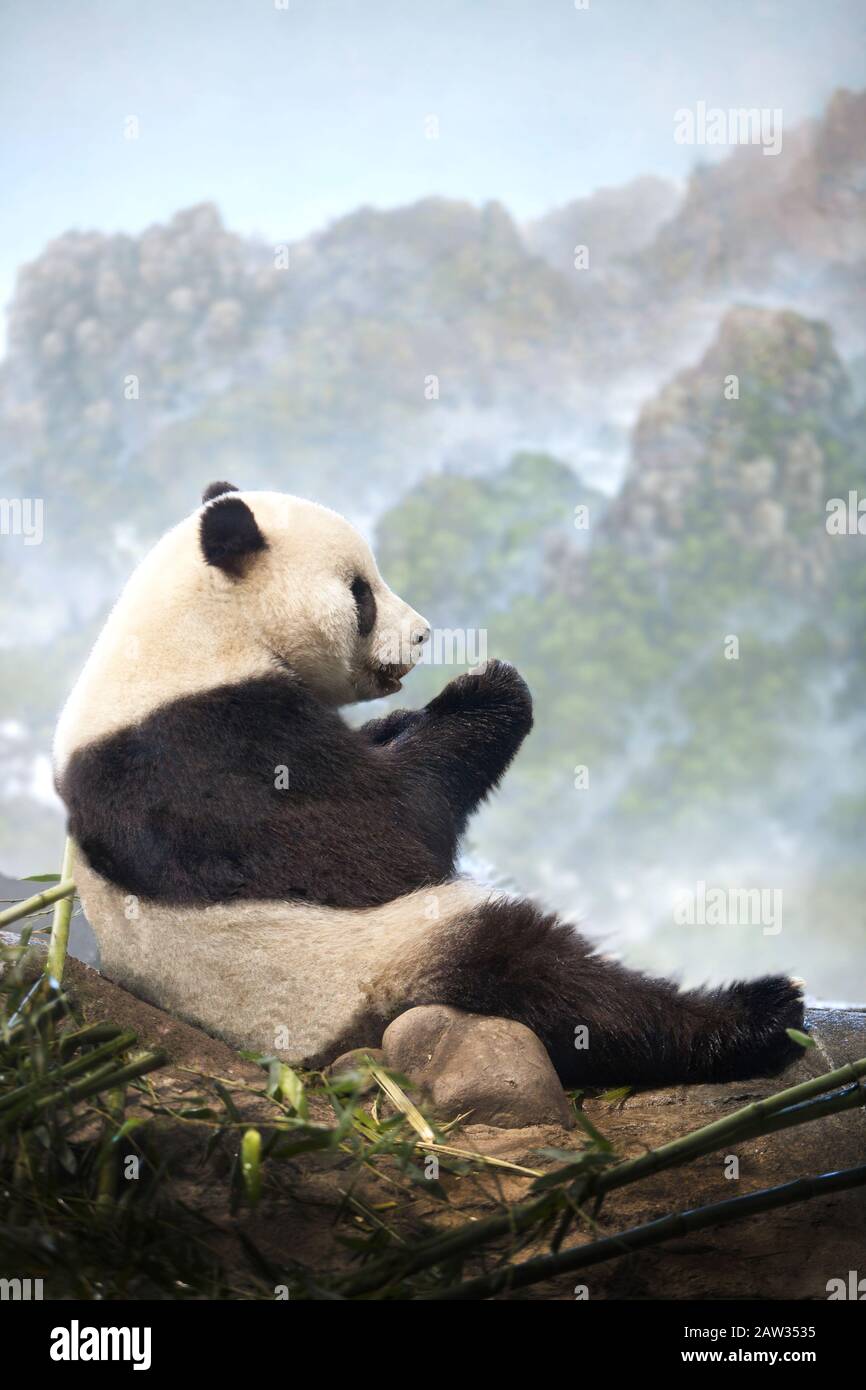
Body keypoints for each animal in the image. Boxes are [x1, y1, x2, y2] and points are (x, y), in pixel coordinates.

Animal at [53, 482, 805, 1085]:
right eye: (360, 592)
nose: (422, 636)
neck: (201, 632)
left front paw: (410, 717)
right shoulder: (203, 752)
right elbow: (386, 834)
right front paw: (489, 687)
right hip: (364, 967)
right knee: (546, 982)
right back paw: (756, 1014)